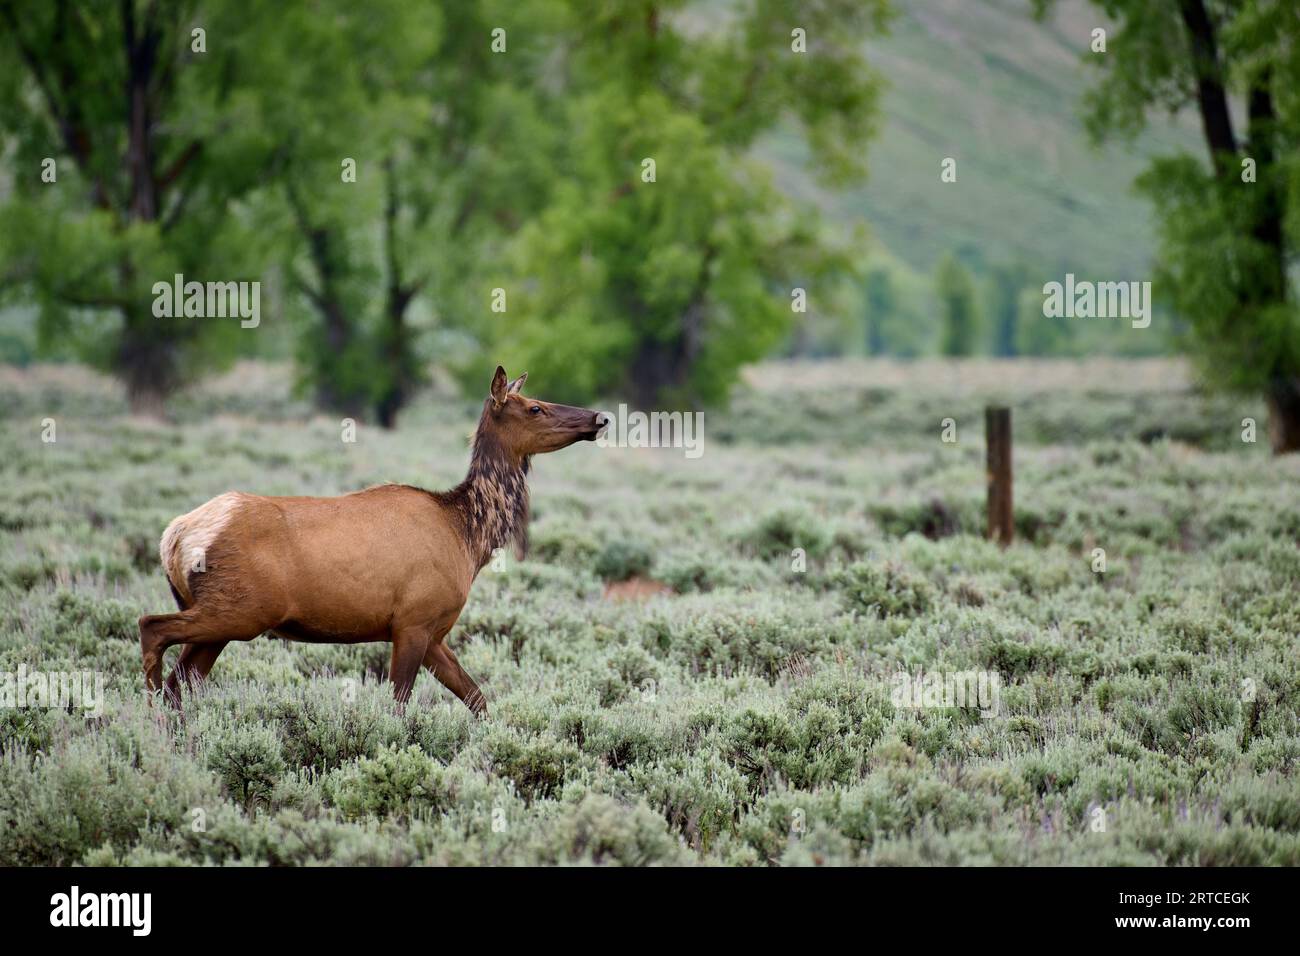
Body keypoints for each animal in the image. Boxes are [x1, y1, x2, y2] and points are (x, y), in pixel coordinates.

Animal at [138, 366, 609, 717]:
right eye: (535, 407)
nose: (599, 418)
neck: (468, 538)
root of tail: (174, 536)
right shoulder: (413, 621)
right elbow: (398, 706)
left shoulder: (434, 632)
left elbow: (478, 699)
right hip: (241, 610)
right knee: (152, 629)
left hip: (221, 617)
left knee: (180, 681)